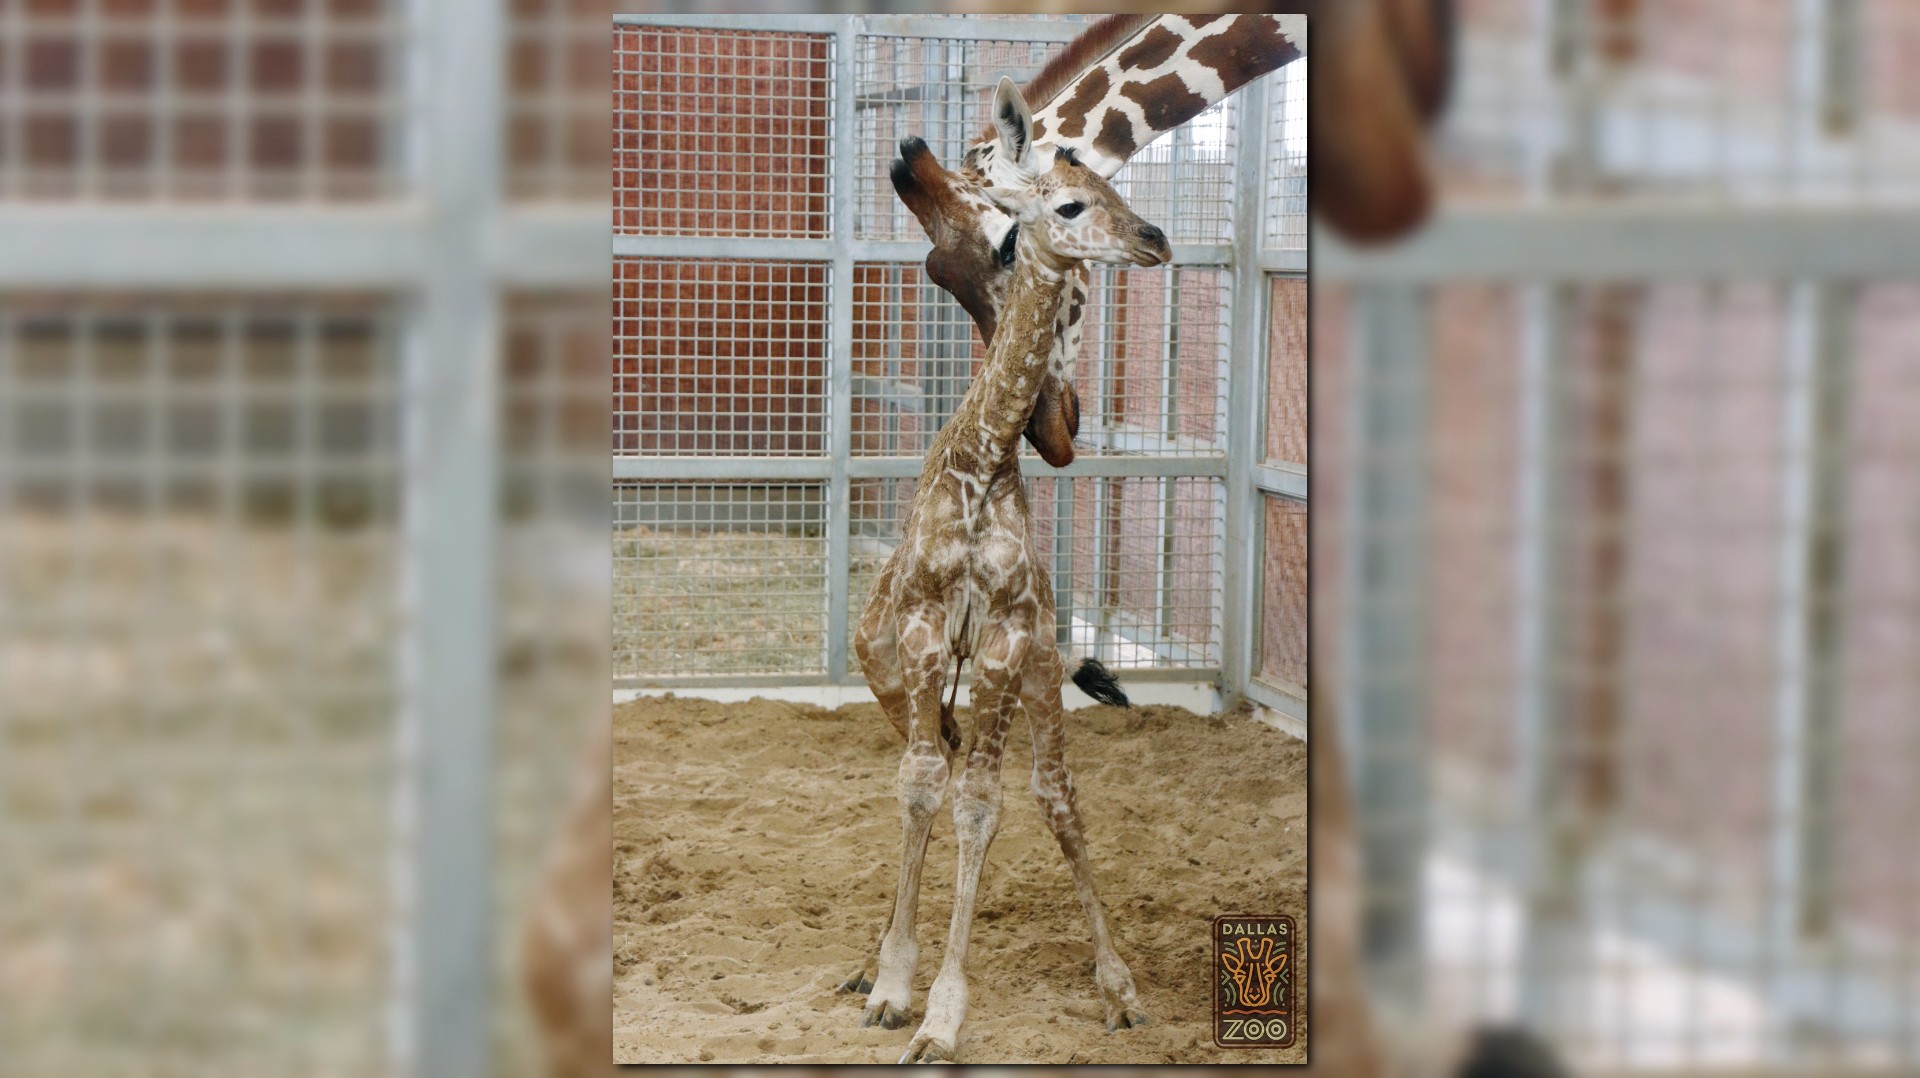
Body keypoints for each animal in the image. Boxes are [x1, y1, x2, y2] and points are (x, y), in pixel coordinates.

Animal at [847, 78, 1171, 1064]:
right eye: (1068, 206)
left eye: (1112, 190)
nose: (1156, 239)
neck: (983, 458)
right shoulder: (922, 630)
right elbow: (921, 786)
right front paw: (891, 984)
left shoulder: (1001, 635)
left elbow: (982, 806)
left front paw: (941, 1015)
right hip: (891, 671)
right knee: (935, 761)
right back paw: (867, 963)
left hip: (1036, 669)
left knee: (1053, 797)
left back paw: (1119, 987)